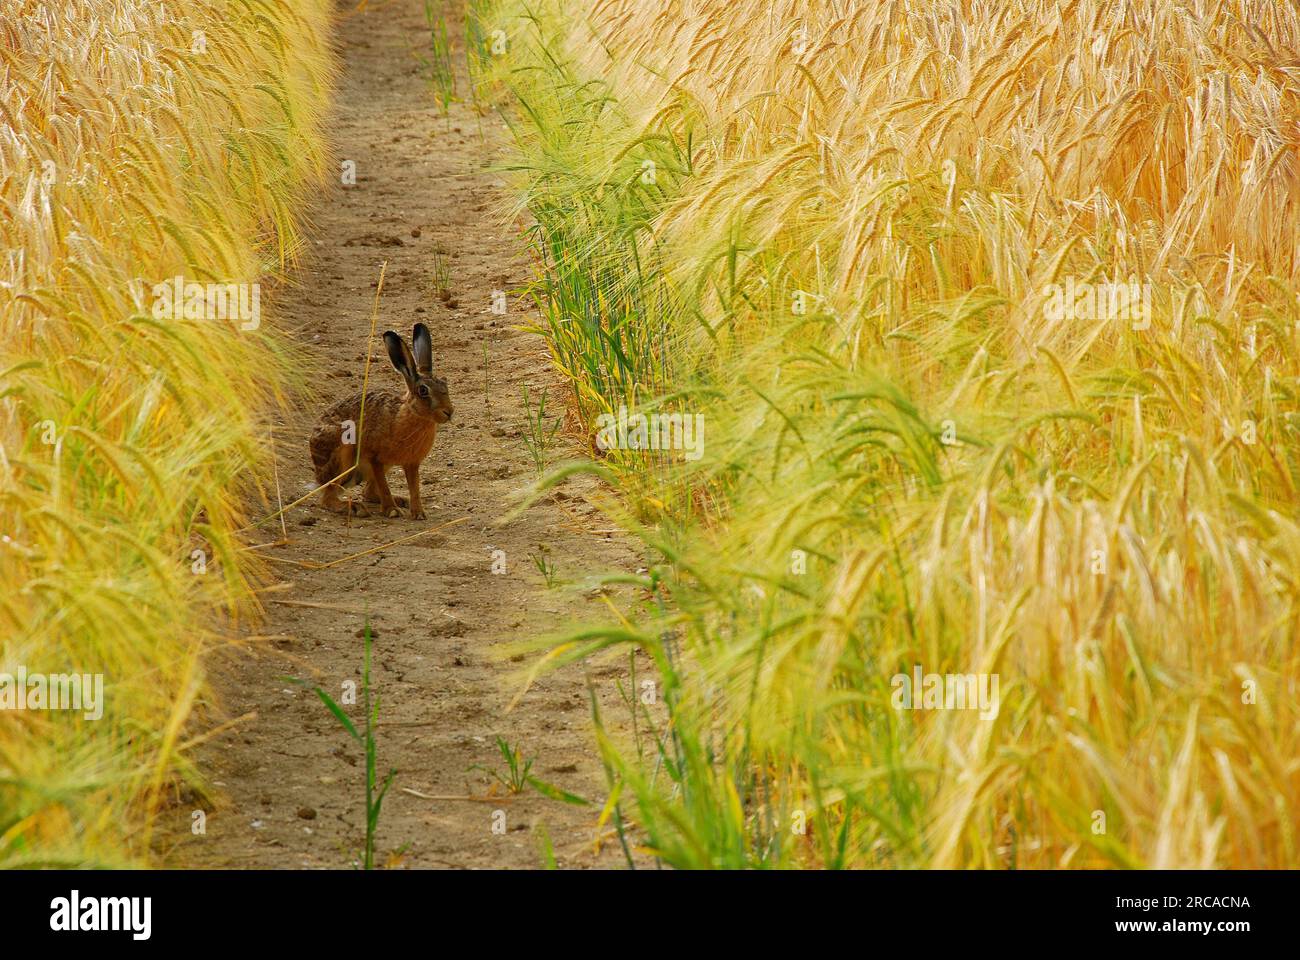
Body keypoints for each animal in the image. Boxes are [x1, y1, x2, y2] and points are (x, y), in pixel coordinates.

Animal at [309, 322, 452, 520]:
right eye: (423, 391)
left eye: (445, 384)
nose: (449, 412)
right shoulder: (375, 458)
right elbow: (384, 486)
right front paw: (392, 511)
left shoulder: (411, 463)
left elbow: (414, 487)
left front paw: (418, 513)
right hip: (343, 457)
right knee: (328, 497)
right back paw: (355, 508)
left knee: (367, 493)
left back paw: (400, 500)